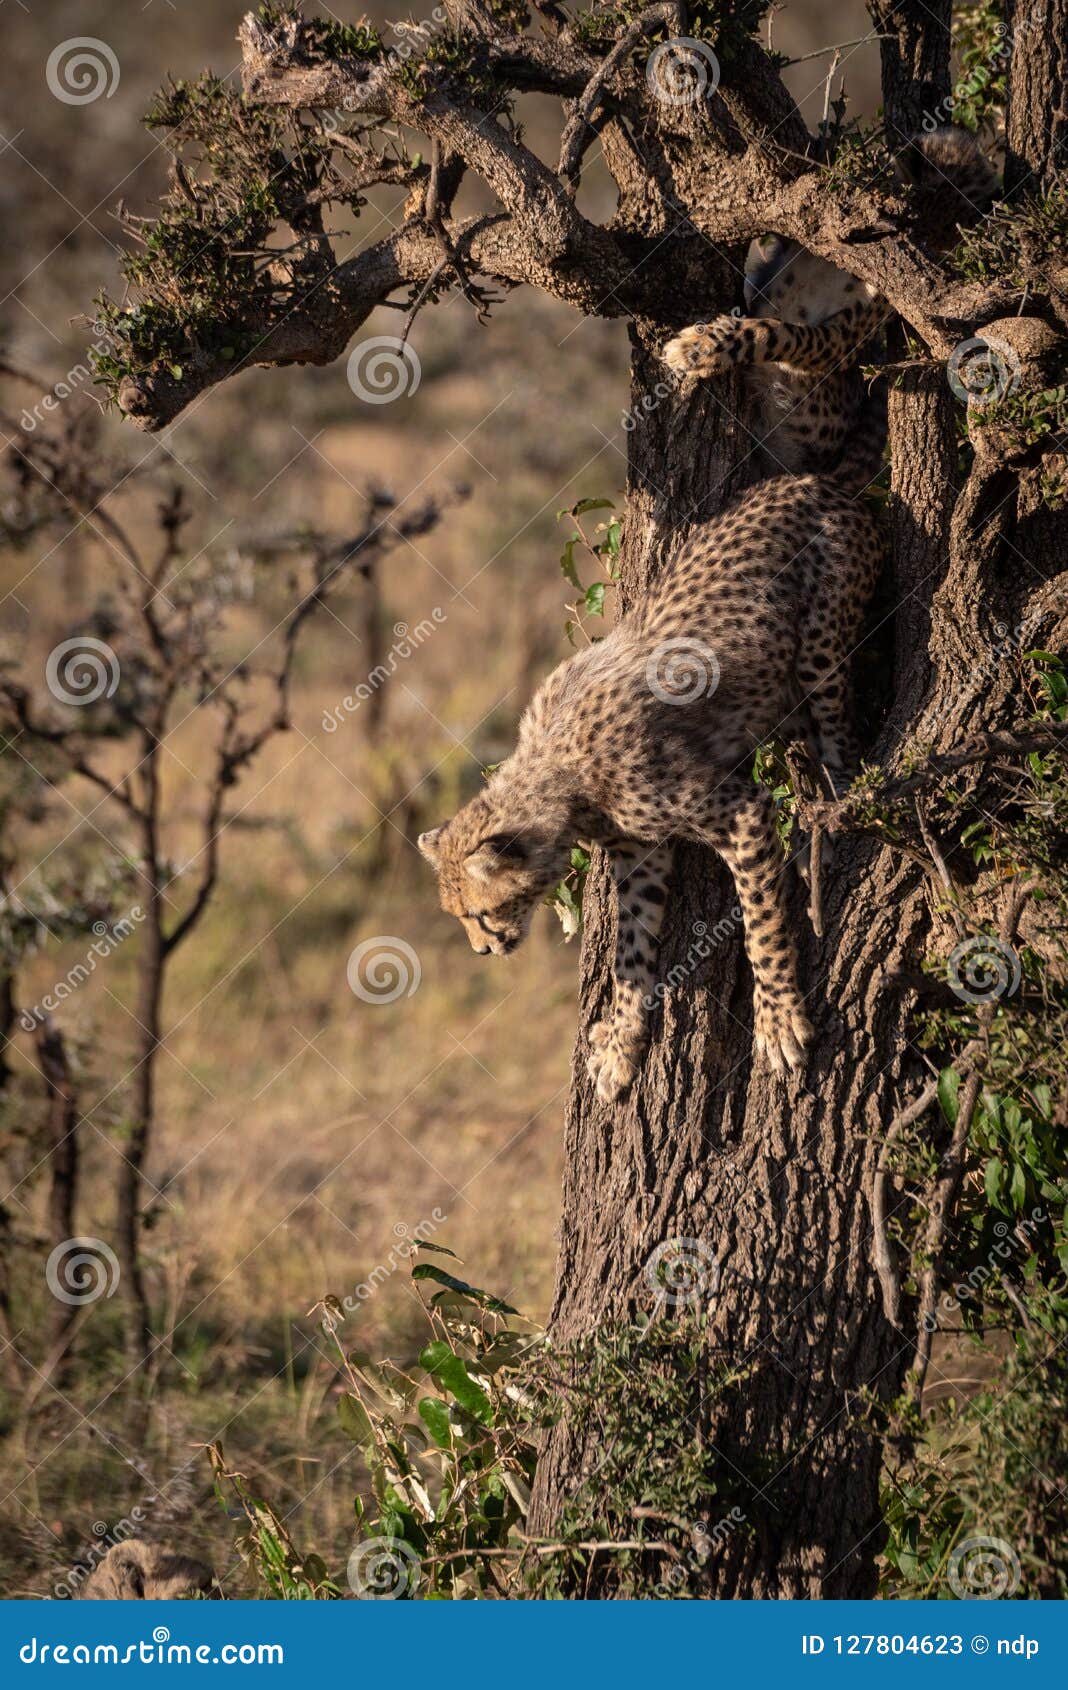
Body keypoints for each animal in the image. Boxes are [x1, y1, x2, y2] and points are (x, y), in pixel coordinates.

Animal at [419, 469, 882, 1104]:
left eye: (481, 913)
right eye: (459, 916)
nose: (484, 950)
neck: (558, 774)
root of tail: (809, 480)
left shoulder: (741, 812)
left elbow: (761, 927)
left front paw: (779, 1020)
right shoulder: (639, 853)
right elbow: (629, 952)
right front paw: (619, 1045)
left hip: (820, 651)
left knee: (842, 743)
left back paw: (829, 830)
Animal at [661, 126, 999, 480]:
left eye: (944, 246)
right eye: (918, 226)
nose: (908, 267)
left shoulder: (842, 342)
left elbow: (775, 332)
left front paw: (697, 349)